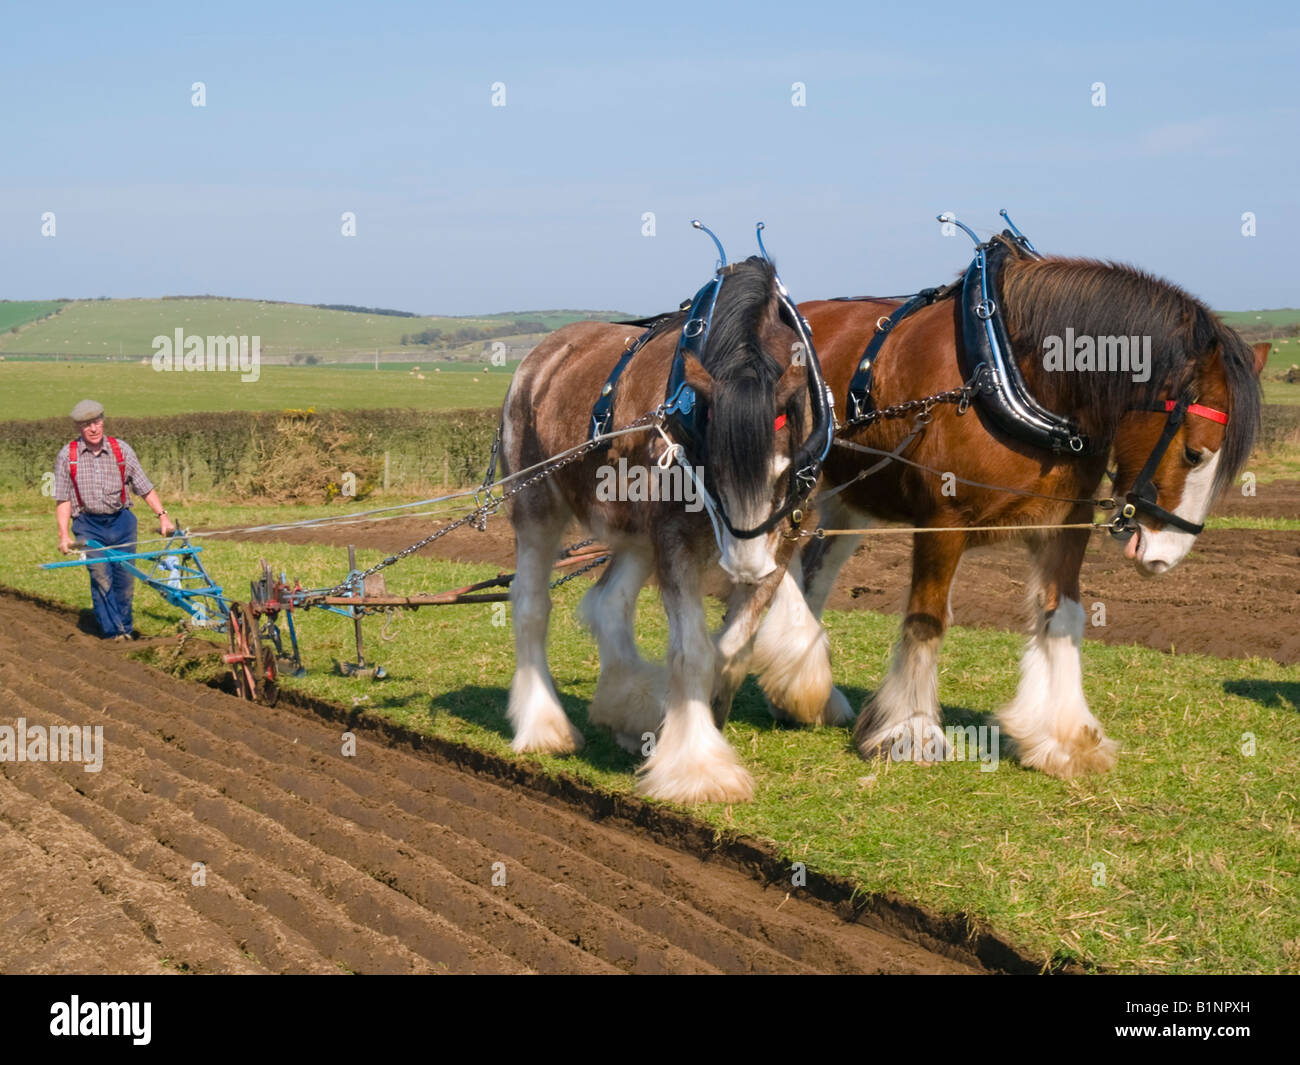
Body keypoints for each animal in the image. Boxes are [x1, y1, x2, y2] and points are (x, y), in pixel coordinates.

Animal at [499, 245, 836, 803]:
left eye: (784, 474)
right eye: (710, 469)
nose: (744, 570)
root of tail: (540, 356)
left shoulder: (784, 534)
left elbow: (733, 649)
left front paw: (710, 709)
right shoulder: (675, 536)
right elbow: (694, 652)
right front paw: (699, 767)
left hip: (635, 533)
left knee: (608, 603)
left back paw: (628, 707)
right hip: (536, 505)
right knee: (530, 607)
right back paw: (543, 725)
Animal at [747, 224, 1265, 779]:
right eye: (1194, 452)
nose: (1165, 556)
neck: (1007, 370)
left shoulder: (1064, 522)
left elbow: (1063, 616)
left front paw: (1065, 737)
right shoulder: (942, 522)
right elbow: (927, 619)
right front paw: (910, 731)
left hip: (850, 499)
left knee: (813, 572)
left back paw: (805, 688)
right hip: (792, 485)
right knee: (778, 564)